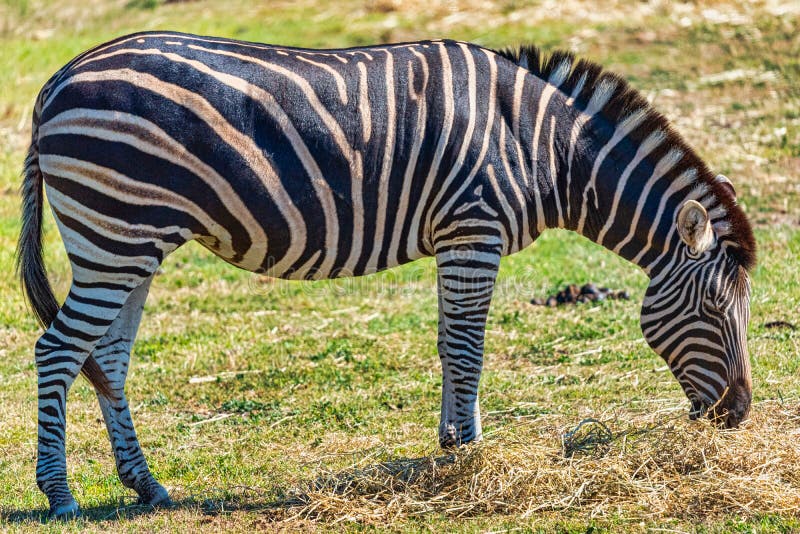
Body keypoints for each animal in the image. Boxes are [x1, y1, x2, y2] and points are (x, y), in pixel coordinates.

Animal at [17, 31, 756, 518]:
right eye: (714, 311)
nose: (738, 415)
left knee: (108, 357)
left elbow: (448, 343)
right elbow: (468, 346)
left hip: (133, 239)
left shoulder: (457, 237)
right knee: (57, 350)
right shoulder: (474, 227)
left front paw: (451, 445)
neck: (545, 147)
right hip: (115, 232)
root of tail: (56, 79)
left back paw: (146, 485)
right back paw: (60, 494)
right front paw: (471, 456)